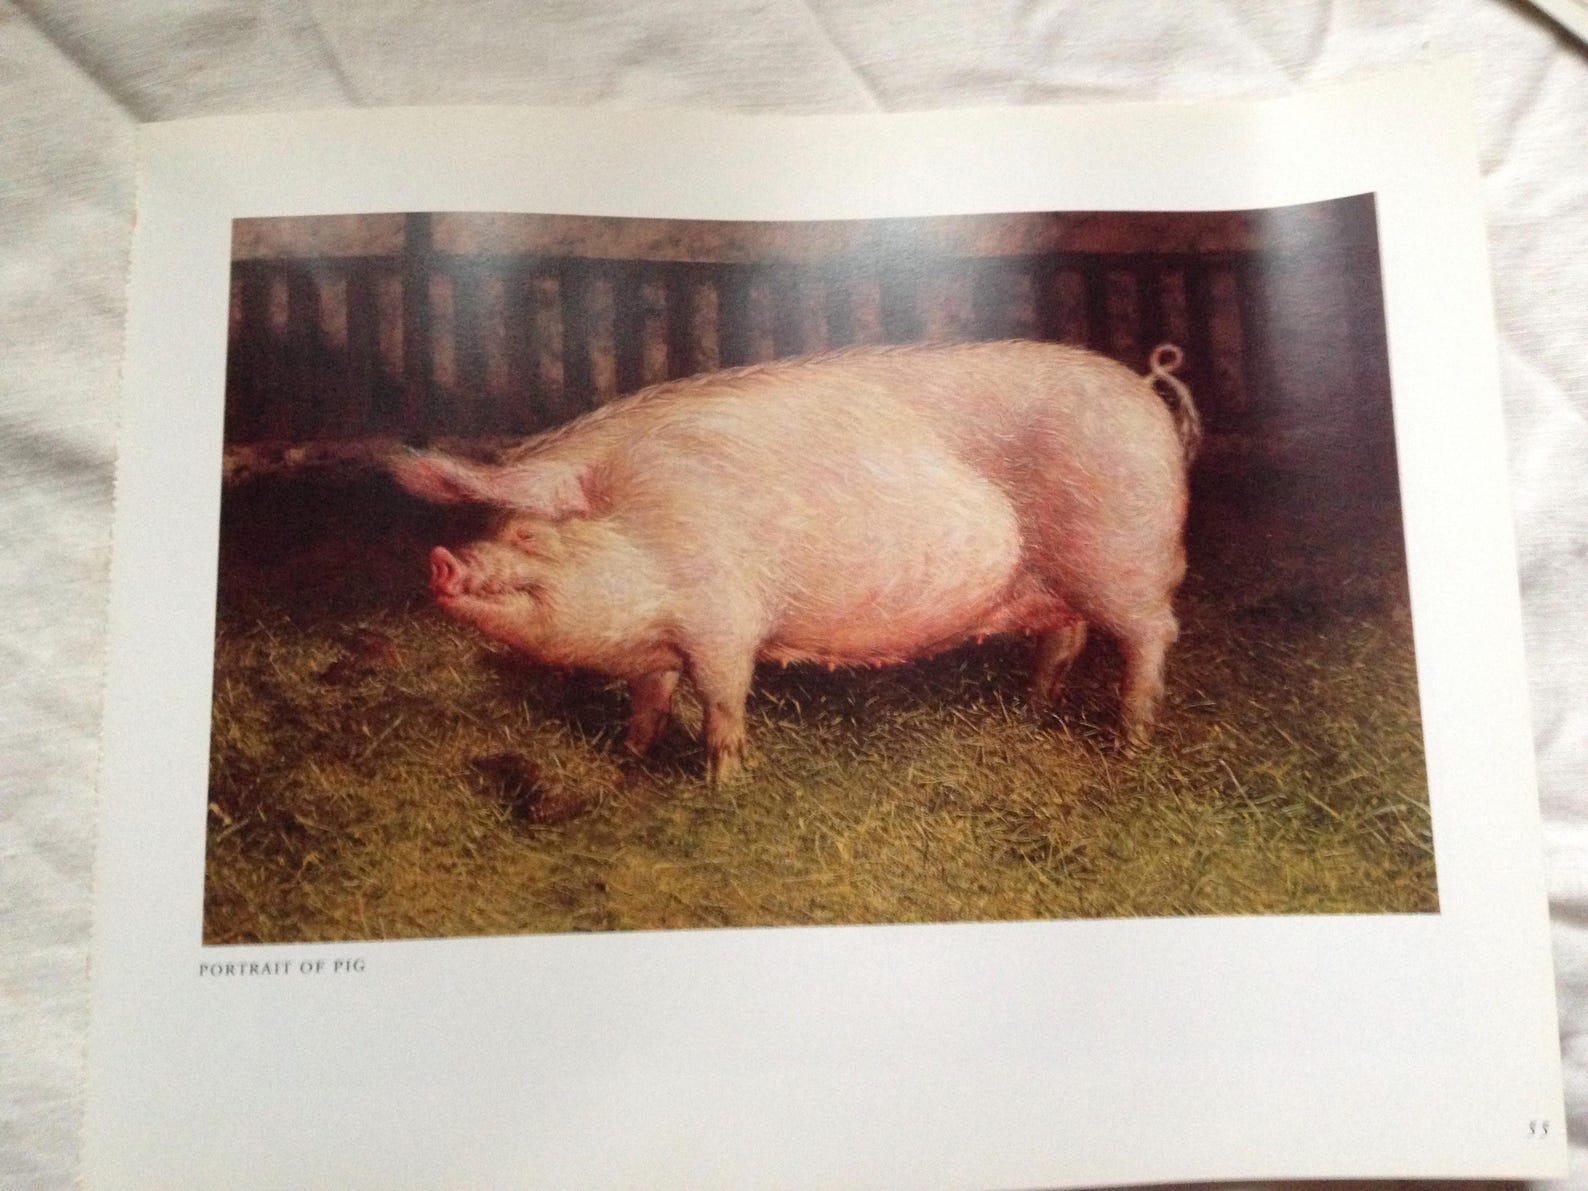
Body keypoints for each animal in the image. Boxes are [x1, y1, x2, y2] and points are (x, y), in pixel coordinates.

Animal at [391, 340, 1199, 784]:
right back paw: (1034, 711)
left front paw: (723, 786)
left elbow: (722, 705)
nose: (441, 560)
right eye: (492, 526)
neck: (647, 526)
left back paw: (1130, 743)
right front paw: (630, 759)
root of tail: (1146, 391)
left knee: (1153, 639)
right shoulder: (662, 647)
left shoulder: (723, 623)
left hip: (1128, 559)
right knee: (1066, 636)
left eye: (531, 538)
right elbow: (651, 699)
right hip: (1058, 584)